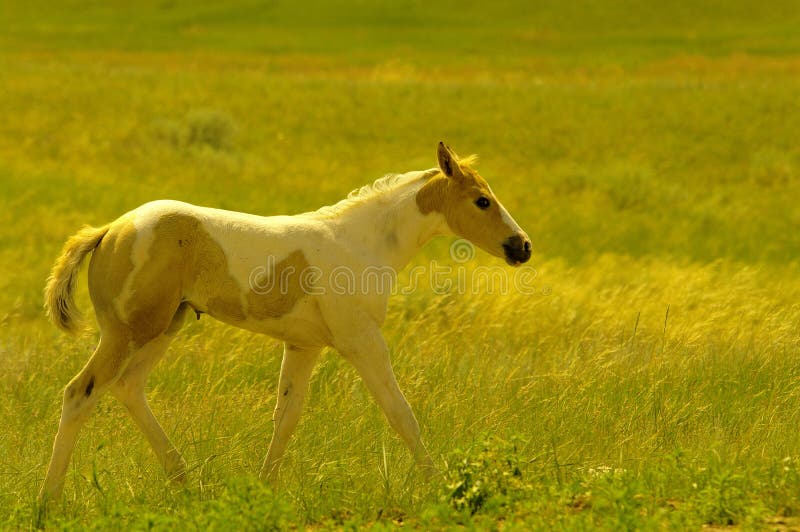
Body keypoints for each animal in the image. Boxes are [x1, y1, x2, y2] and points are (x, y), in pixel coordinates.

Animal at [39, 142, 532, 500]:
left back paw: (185, 482)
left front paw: (262, 491)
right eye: (482, 200)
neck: (362, 242)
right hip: (127, 332)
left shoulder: (304, 346)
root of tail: (108, 230)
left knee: (128, 388)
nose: (522, 246)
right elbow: (400, 412)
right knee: (80, 394)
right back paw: (49, 501)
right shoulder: (362, 341)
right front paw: (443, 488)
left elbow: (287, 415)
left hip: (163, 328)